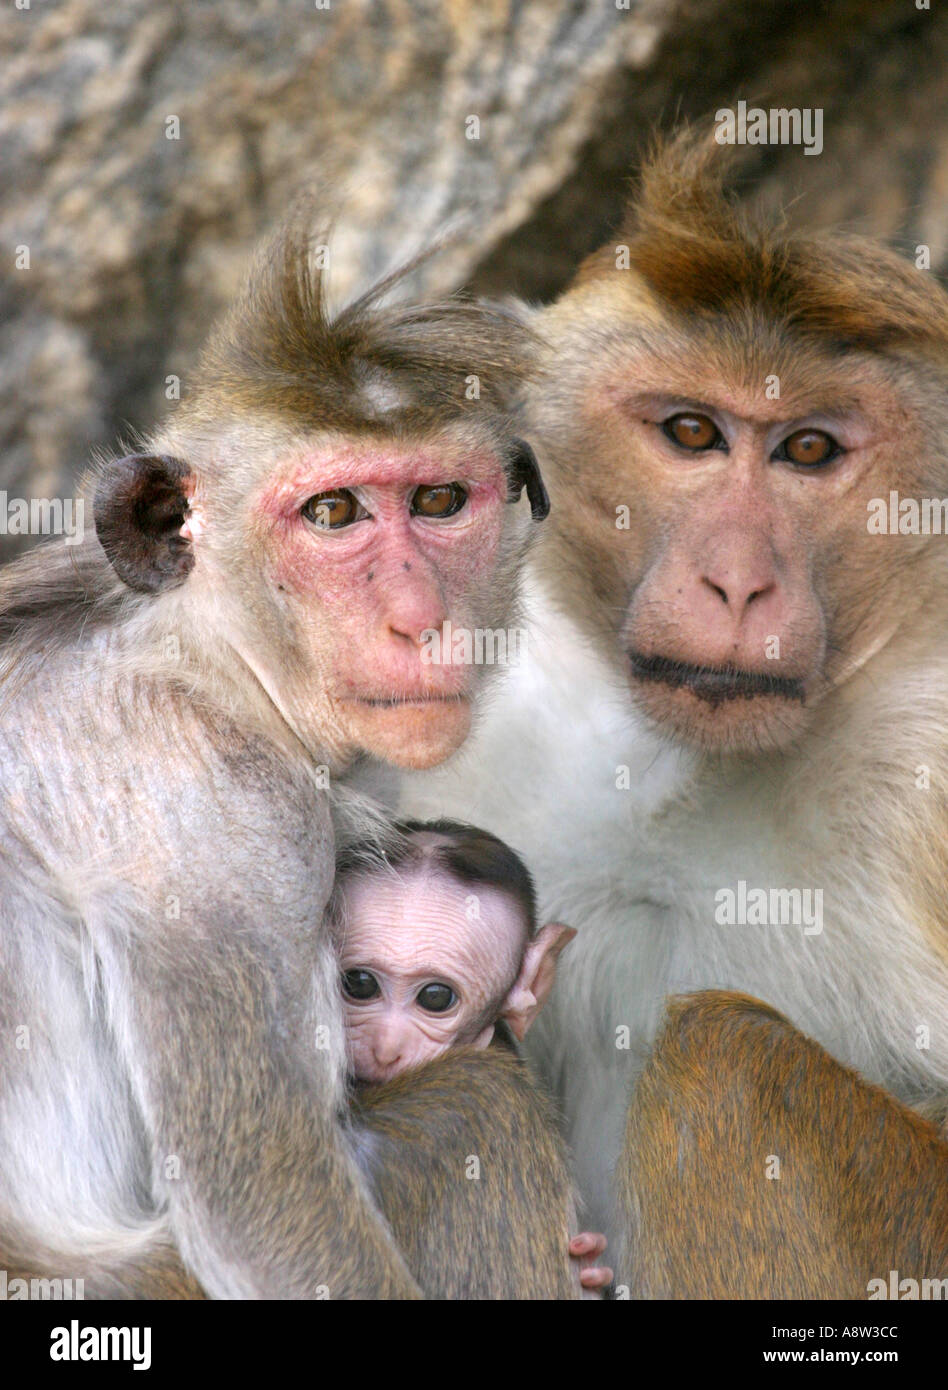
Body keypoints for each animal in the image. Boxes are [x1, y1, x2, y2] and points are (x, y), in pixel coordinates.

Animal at [0, 199, 584, 1300]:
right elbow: (270, 1216)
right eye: (333, 512)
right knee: (479, 1105)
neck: (206, 654)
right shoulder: (218, 825)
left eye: (438, 501)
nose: (420, 621)